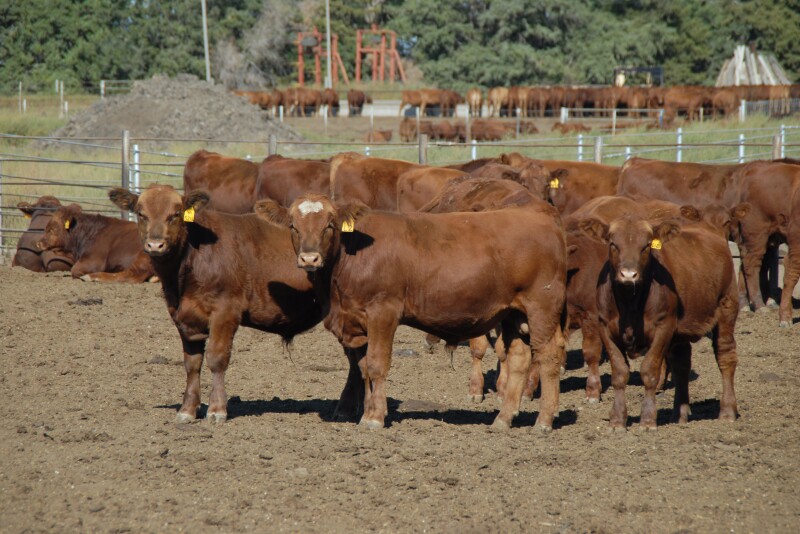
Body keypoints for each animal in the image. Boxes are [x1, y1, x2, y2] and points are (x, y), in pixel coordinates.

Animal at [108, 185, 324, 423]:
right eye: (141, 214)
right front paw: (187, 410)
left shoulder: (225, 311)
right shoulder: (182, 316)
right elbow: (192, 363)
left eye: (175, 214)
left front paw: (217, 409)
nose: (155, 244)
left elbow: (216, 358)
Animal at [259, 193, 567, 431]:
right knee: (519, 358)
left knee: (549, 356)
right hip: (514, 314)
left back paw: (543, 421)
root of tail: (542, 214)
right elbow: (362, 367)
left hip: (541, 308)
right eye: (293, 226)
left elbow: (376, 364)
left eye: (330, 225)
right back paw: (503, 419)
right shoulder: (356, 320)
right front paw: (368, 411)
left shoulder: (383, 313)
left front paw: (374, 418)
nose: (309, 258)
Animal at [579, 213, 739, 430]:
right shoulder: (605, 327)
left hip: (727, 307)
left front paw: (647, 419)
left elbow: (650, 371)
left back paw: (727, 411)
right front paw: (617, 420)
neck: (630, 302)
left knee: (725, 356)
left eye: (646, 246)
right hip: (681, 331)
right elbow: (619, 373)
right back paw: (679, 414)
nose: (628, 274)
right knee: (682, 365)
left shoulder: (664, 327)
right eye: (613, 244)